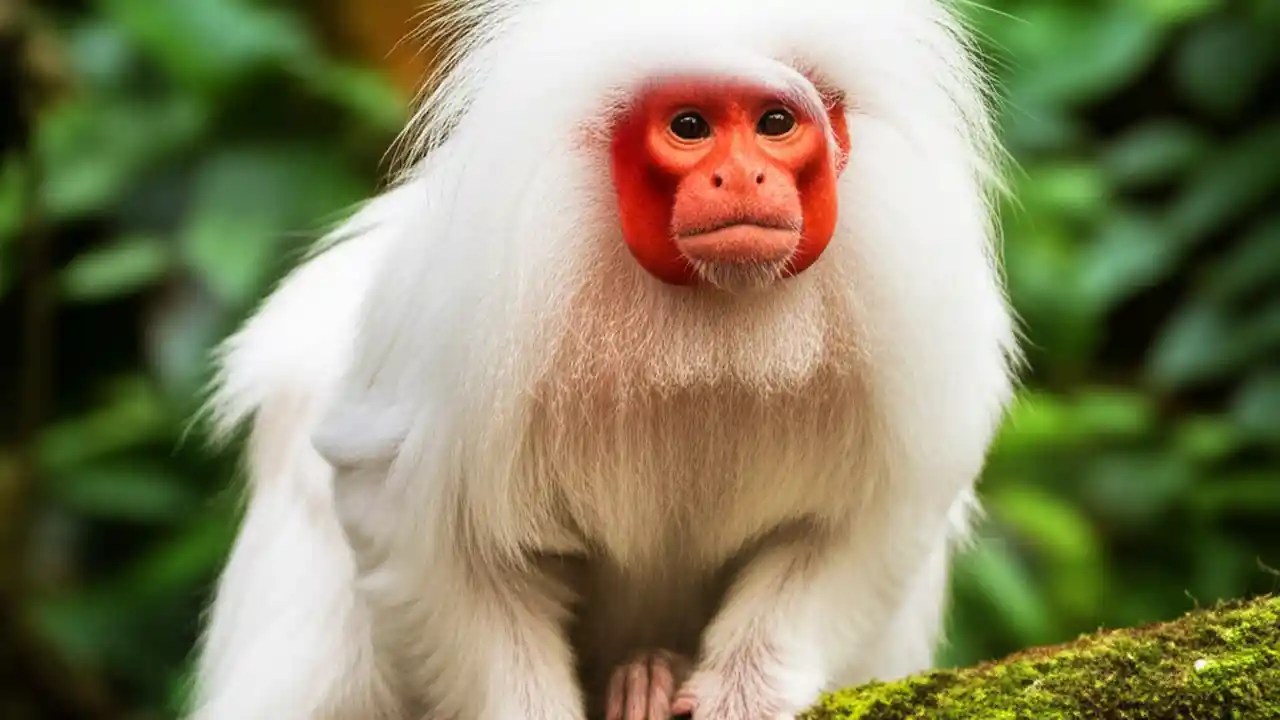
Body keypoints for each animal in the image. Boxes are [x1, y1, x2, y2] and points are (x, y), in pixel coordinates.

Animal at [192, 1, 1018, 719]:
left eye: (775, 124)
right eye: (690, 127)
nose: (742, 178)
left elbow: (863, 531)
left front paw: (742, 695)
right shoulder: (456, 336)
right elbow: (426, 541)